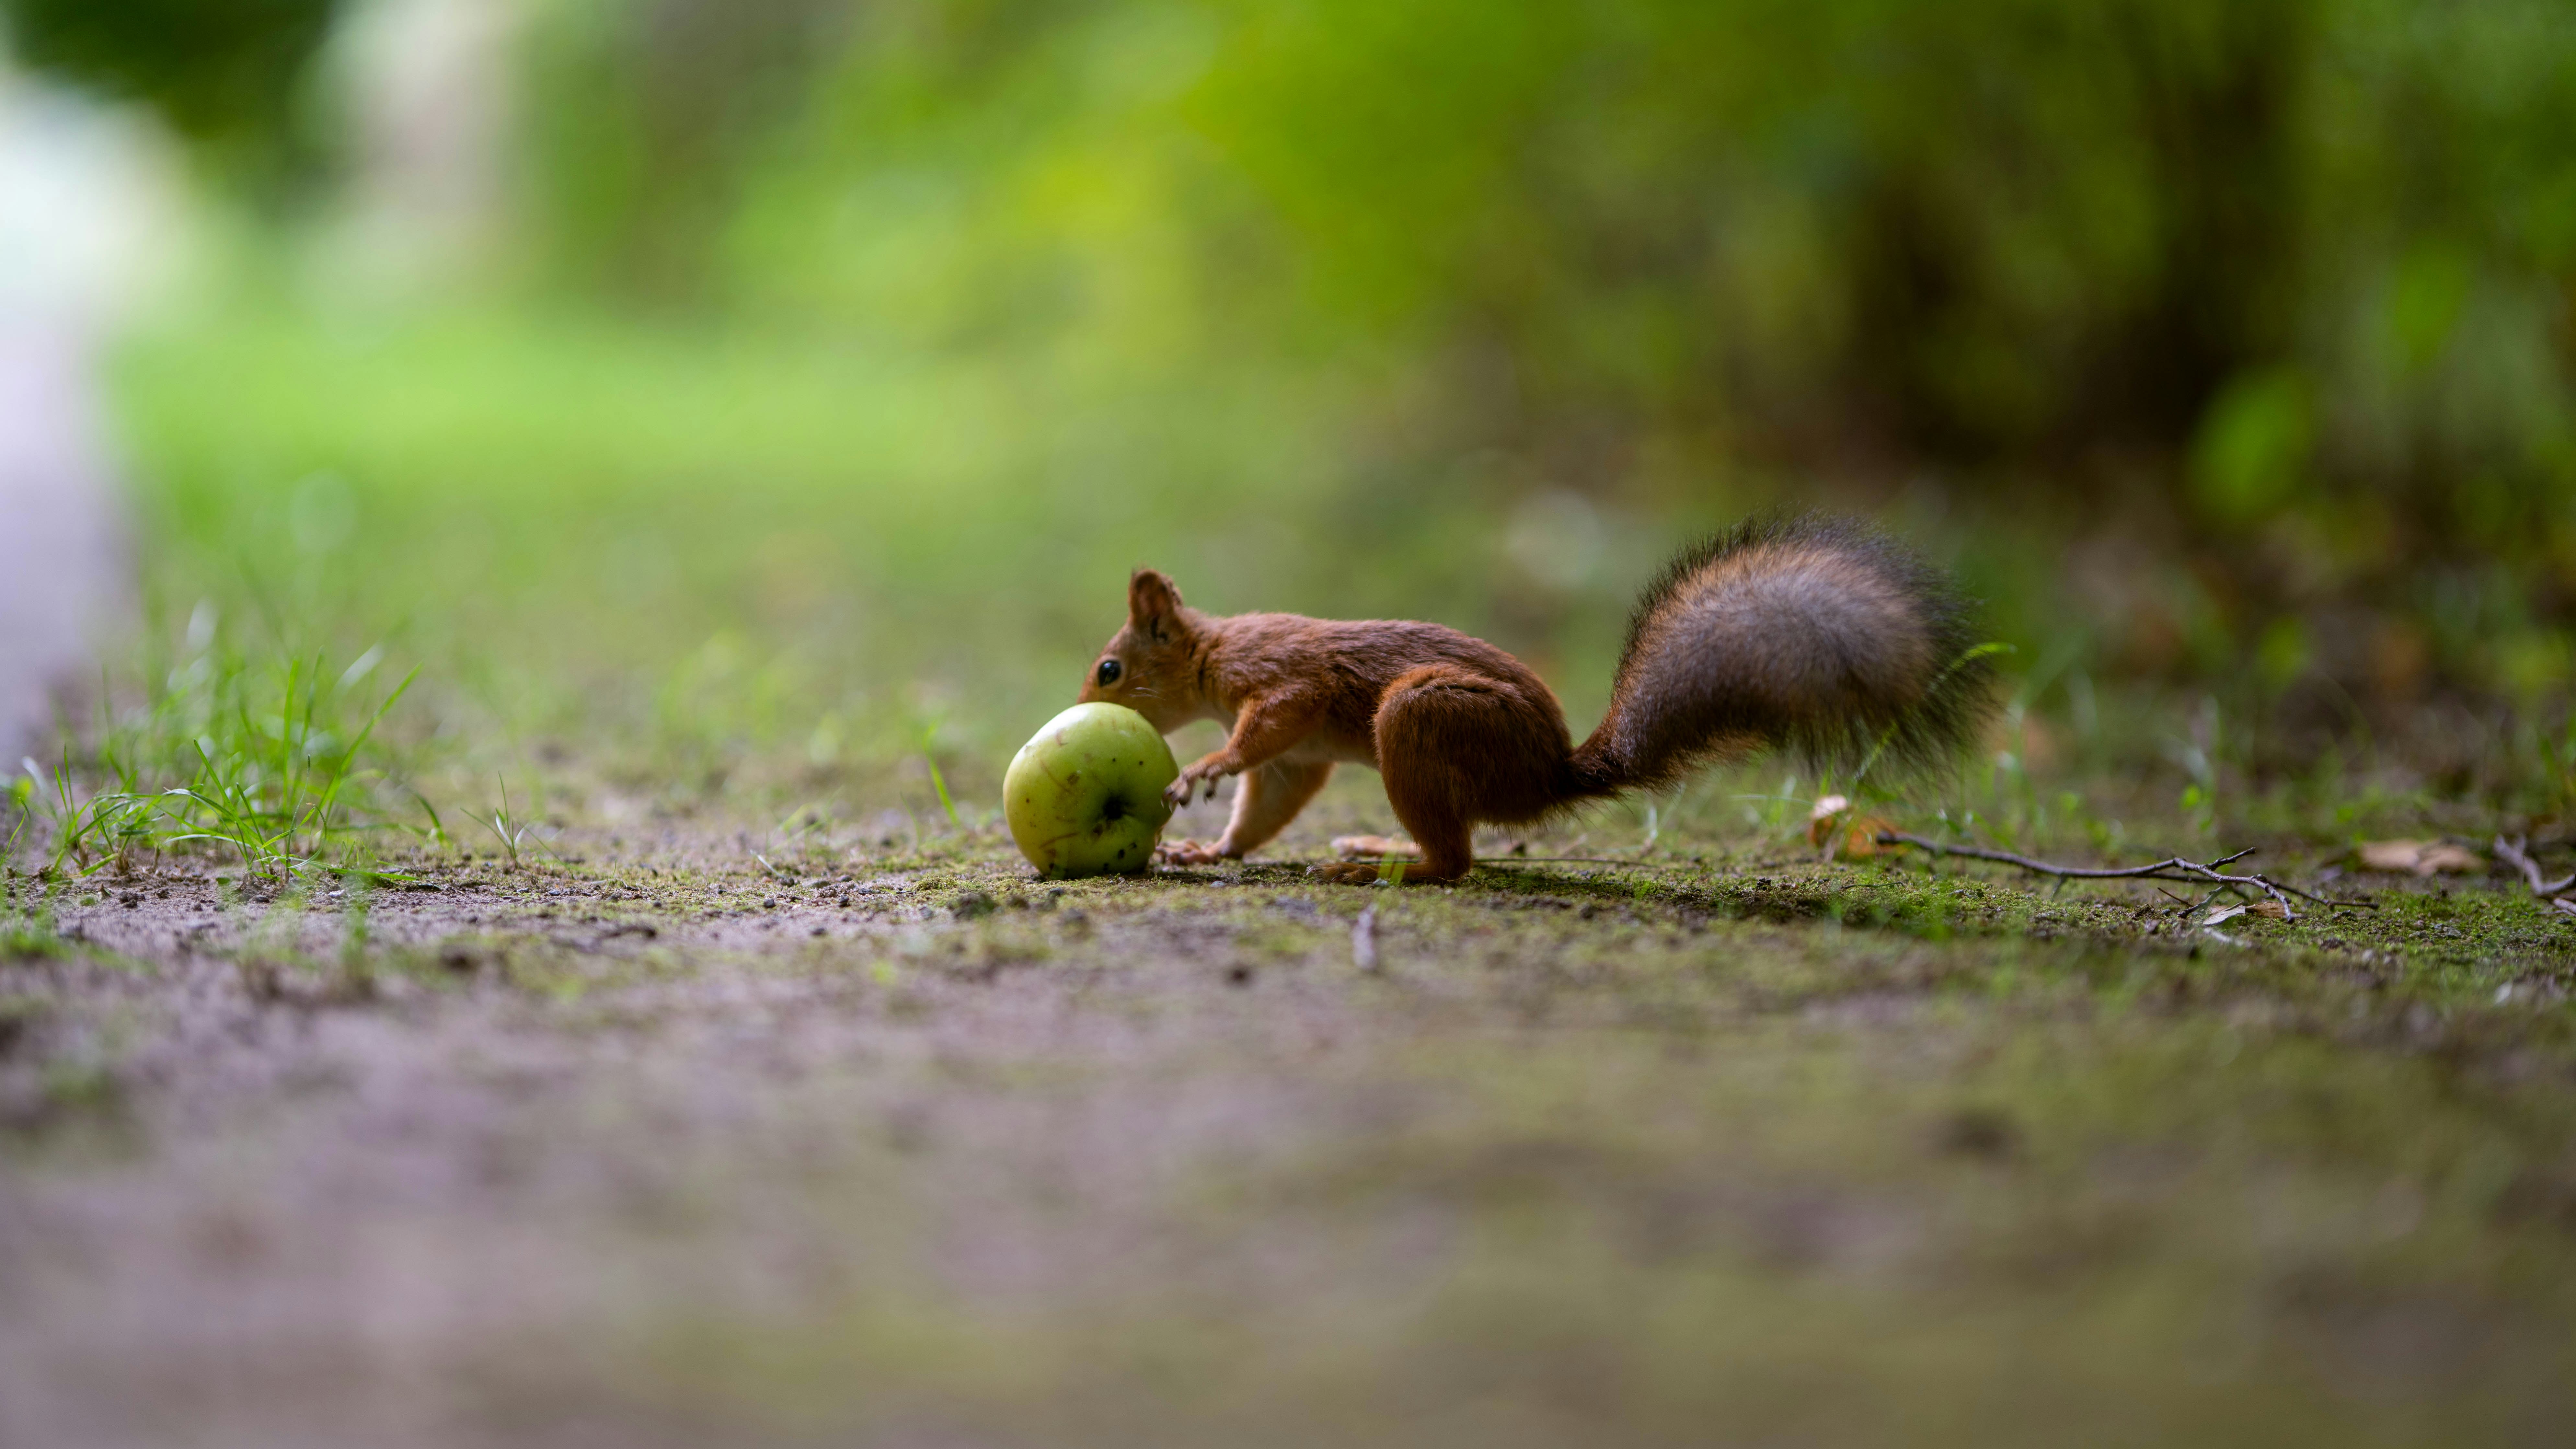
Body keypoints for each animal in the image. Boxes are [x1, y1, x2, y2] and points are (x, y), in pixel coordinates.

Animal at [1077, 514, 1993, 884]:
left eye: (1110, 669)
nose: (1086, 698)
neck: (1213, 651)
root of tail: (1549, 776)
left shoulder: (1283, 681)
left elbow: (1264, 730)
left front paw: (1206, 764)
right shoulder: (1298, 760)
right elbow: (1269, 803)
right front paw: (1211, 850)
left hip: (1420, 718)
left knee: (1455, 863)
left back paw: (1382, 864)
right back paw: (1377, 843)